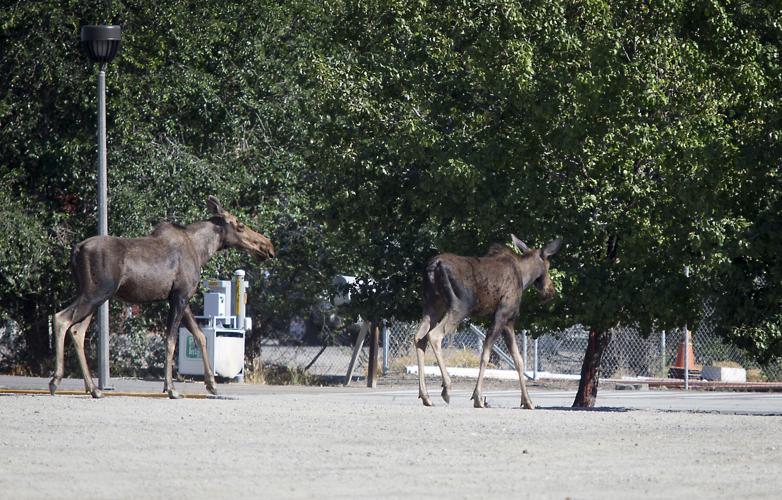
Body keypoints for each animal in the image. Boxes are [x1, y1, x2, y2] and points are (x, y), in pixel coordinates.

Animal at [49, 196, 275, 399]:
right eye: (240, 225)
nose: (268, 247)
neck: (202, 251)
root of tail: (76, 250)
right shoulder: (180, 296)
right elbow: (171, 340)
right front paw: (171, 388)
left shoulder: (180, 297)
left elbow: (200, 336)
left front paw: (212, 385)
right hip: (96, 293)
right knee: (61, 318)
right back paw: (56, 380)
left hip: (92, 295)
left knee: (77, 330)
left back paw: (94, 389)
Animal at [413, 235, 561, 409]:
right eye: (548, 265)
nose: (550, 291)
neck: (525, 277)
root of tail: (434, 266)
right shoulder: (502, 314)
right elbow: (486, 354)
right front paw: (478, 397)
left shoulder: (508, 322)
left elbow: (518, 360)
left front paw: (527, 401)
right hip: (459, 306)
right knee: (434, 335)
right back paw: (447, 388)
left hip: (432, 305)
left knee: (419, 337)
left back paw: (426, 396)